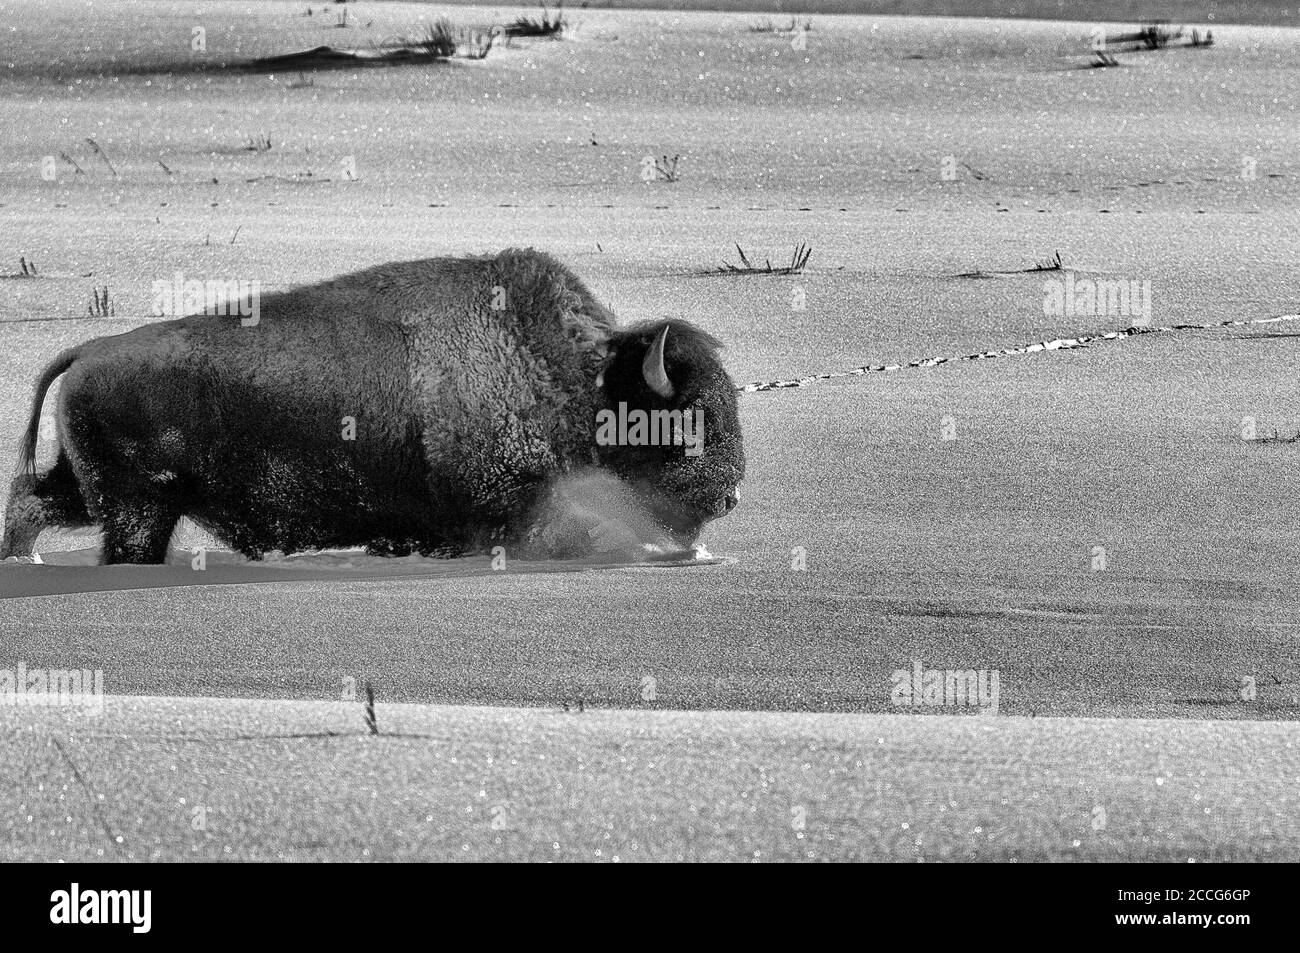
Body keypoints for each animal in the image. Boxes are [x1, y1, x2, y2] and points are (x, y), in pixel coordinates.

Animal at [1, 249, 744, 564]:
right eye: (688, 421)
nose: (732, 493)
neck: (581, 378)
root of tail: (88, 352)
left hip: (95, 493)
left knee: (31, 503)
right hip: (138, 510)